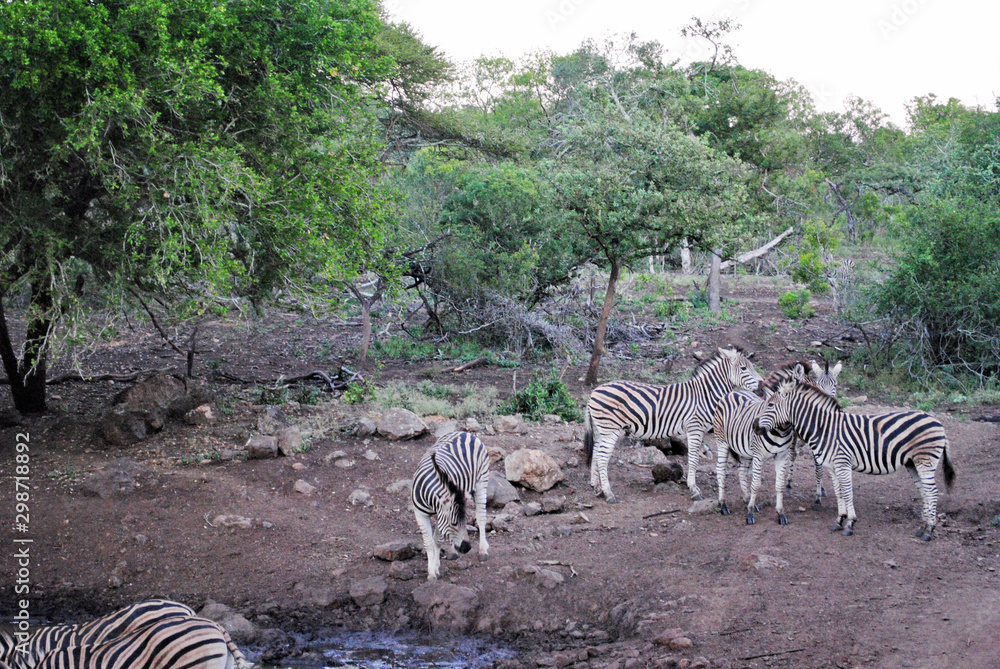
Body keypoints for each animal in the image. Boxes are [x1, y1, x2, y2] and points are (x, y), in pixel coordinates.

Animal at [411, 431, 491, 580]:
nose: (467, 548)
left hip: (482, 482)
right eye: (453, 523)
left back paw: (483, 550)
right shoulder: (420, 514)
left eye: (466, 520)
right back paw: (454, 550)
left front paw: (435, 568)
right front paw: (432, 572)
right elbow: (429, 543)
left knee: (481, 517)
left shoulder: (440, 513)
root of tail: (465, 432)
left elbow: (437, 540)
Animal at [584, 346, 762, 503]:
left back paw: (597, 487)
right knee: (602, 456)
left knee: (596, 451)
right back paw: (608, 494)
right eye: (744, 368)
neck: (705, 395)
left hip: (601, 430)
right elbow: (693, 459)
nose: (762, 384)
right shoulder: (695, 428)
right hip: (610, 428)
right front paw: (694, 489)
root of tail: (594, 392)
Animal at [713, 362, 811, 525]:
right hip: (722, 442)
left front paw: (780, 514)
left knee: (741, 472)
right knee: (720, 471)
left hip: (744, 450)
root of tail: (733, 392)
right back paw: (723, 505)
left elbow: (779, 485)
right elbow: (756, 484)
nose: (755, 427)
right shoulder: (758, 455)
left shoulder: (782, 456)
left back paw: (746, 500)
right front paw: (750, 514)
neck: (781, 428)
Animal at [755, 378, 955, 540]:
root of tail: (937, 422)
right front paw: (839, 520)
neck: (823, 427)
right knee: (924, 492)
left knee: (932, 492)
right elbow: (839, 492)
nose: (755, 427)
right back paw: (923, 528)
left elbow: (847, 492)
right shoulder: (832, 466)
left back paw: (929, 530)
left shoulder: (842, 462)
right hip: (912, 463)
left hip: (925, 461)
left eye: (770, 405)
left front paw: (850, 524)